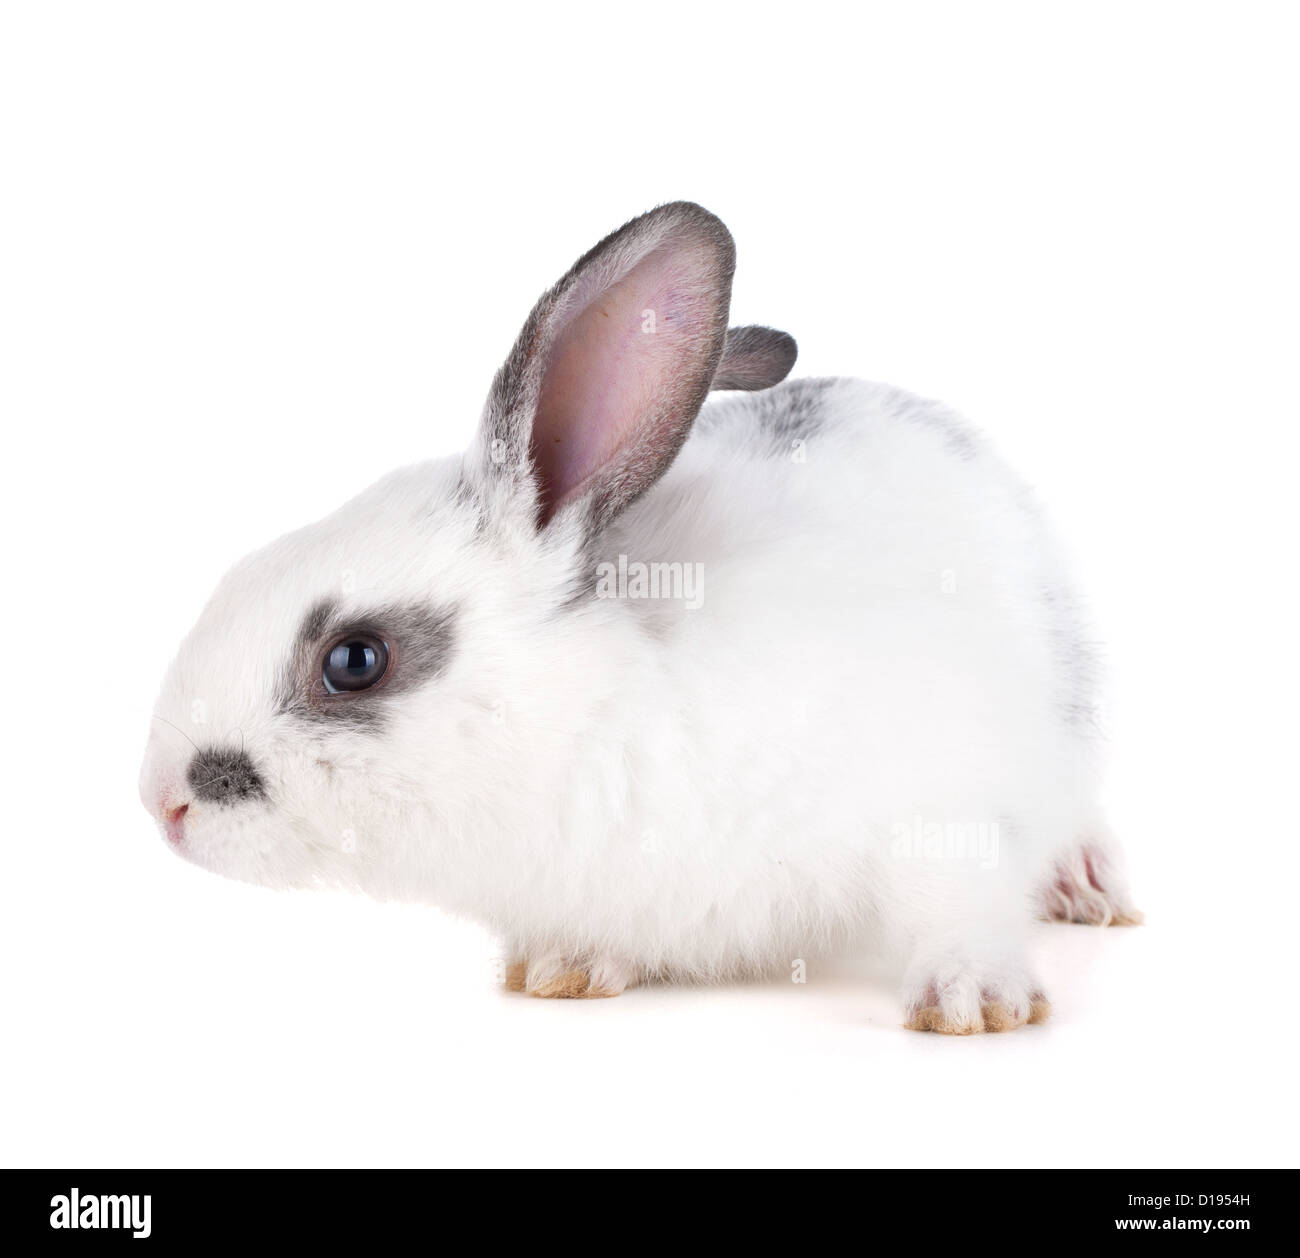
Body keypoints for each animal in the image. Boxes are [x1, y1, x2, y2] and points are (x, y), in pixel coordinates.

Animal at [140, 201, 1140, 1033]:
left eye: (354, 660)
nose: (162, 803)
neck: (594, 722)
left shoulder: (936, 805)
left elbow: (957, 899)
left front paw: (973, 999)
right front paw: (569, 969)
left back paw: (1087, 886)